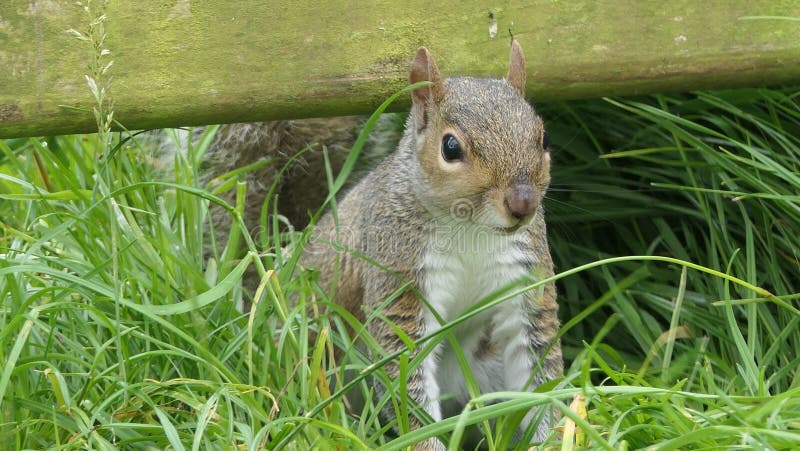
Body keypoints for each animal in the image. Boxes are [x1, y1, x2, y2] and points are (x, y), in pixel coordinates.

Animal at [302, 41, 563, 449]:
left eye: (544, 138)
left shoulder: (525, 281)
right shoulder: (401, 278)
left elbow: (538, 368)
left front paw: (558, 437)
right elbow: (405, 373)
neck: (471, 229)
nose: (522, 204)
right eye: (450, 147)